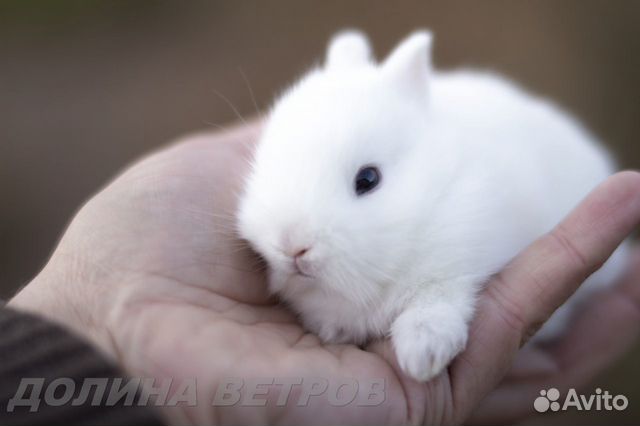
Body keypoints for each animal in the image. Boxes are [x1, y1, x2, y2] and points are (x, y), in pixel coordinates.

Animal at [236, 29, 629, 382]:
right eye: (264, 162)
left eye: (368, 179)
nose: (292, 246)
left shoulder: (453, 269)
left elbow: (435, 307)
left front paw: (422, 358)